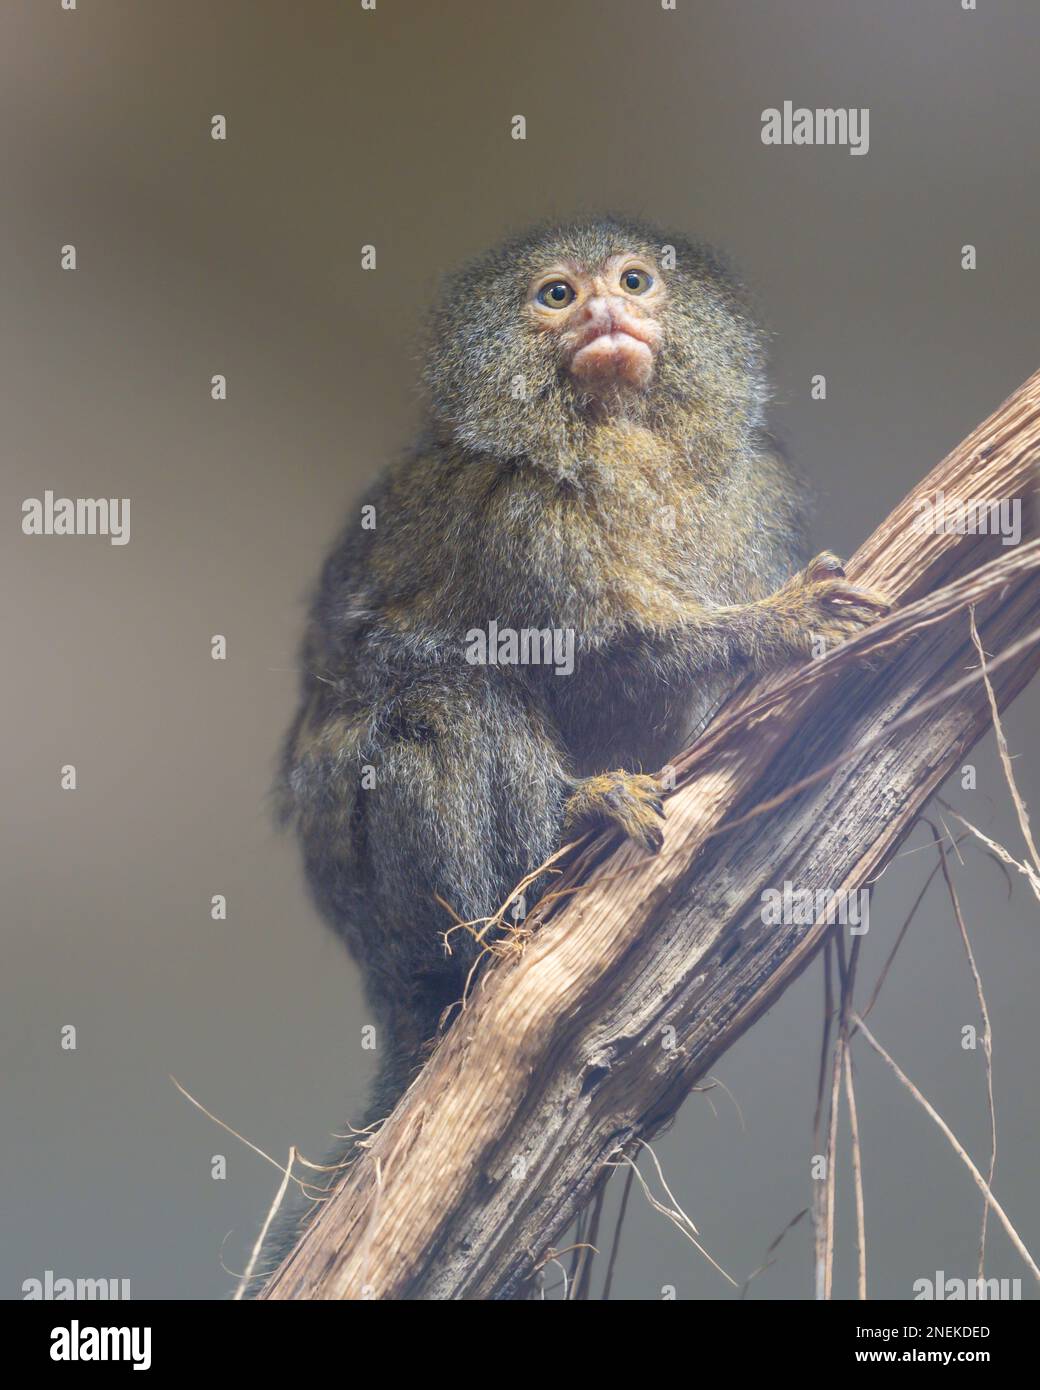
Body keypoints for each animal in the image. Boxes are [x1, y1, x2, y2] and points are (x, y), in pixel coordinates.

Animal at [253, 217, 888, 1285]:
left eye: (634, 282)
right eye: (556, 295)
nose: (602, 312)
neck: (622, 441)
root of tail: (382, 969)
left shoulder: (747, 495)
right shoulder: (525, 516)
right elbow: (609, 651)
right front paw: (776, 625)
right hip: (392, 892)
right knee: (446, 705)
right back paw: (554, 843)